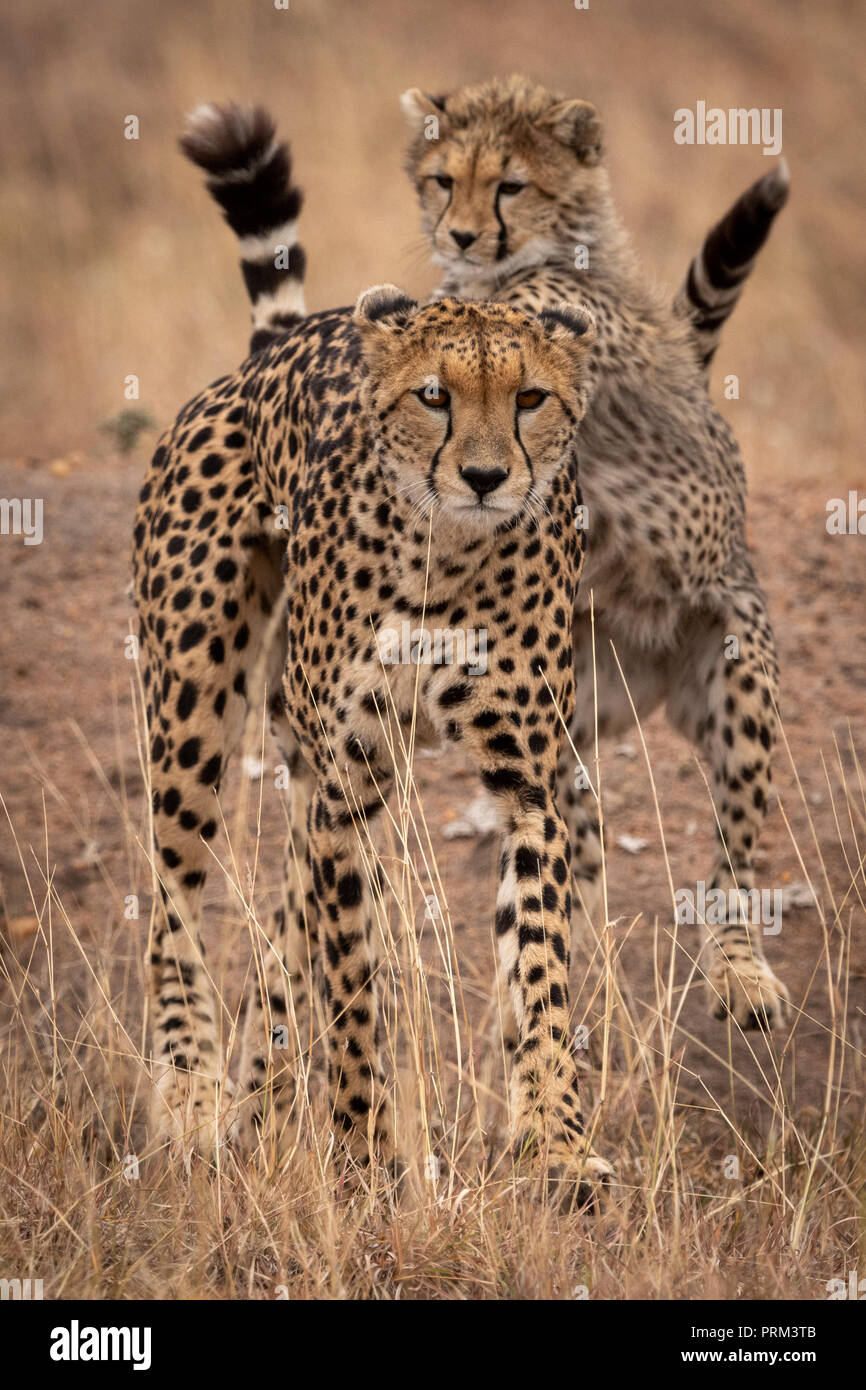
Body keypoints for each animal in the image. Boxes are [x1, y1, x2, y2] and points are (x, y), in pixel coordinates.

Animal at [134, 112, 611, 1198]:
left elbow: (539, 969)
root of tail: (274, 349)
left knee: (279, 940)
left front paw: (559, 1142)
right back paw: (191, 1103)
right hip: (193, 708)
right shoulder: (348, 788)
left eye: (529, 399)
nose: (484, 476)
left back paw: (258, 1102)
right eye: (434, 396)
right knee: (174, 902)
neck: (448, 552)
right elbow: (352, 983)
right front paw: (364, 1157)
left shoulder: (530, 782)